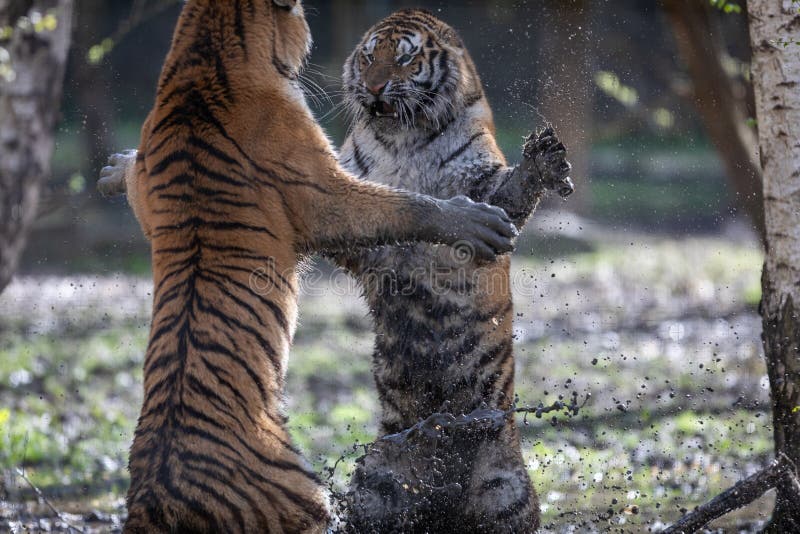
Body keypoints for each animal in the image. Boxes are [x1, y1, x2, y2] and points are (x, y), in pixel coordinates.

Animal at [96, 1, 519, 532]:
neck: (198, 59)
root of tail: (152, 499)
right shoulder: (325, 189)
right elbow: (405, 204)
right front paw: (474, 220)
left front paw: (114, 169)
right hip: (303, 495)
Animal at [332, 9, 574, 533]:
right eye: (368, 57)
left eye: (405, 58)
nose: (375, 86)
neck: (401, 139)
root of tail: (442, 506)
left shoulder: (483, 185)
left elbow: (501, 196)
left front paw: (543, 159)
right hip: (373, 489)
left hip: (506, 490)